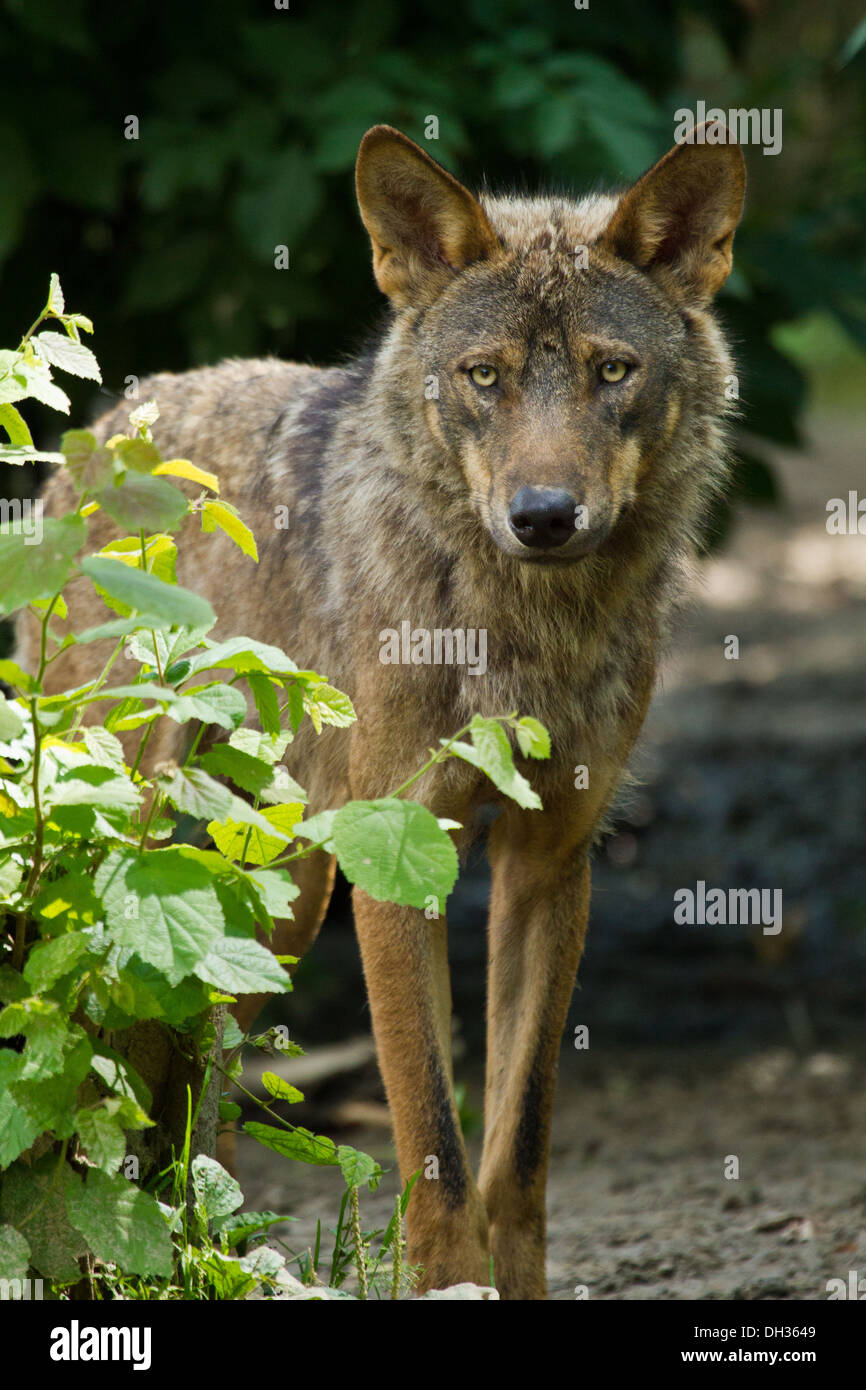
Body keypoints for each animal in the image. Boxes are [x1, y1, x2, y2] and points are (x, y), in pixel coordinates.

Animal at [23, 123, 745, 1299]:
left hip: (276, 885)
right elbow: (431, 1138)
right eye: (483, 376)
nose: (544, 516)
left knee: (206, 1070)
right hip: (136, 841)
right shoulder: (395, 851)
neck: (519, 627)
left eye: (612, 371)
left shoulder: (549, 862)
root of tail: (114, 420)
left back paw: (221, 1248)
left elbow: (518, 1141)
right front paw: (449, 1282)